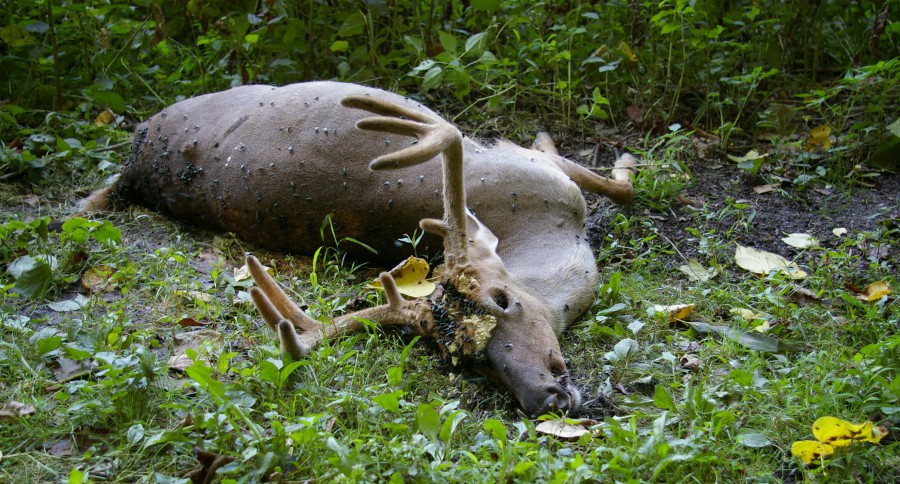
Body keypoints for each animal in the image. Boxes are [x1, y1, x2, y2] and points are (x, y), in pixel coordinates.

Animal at [81, 81, 636, 417]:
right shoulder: (545, 176)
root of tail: (134, 165)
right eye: (462, 361)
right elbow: (614, 182)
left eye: (505, 301)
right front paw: (623, 159)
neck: (548, 231)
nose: (544, 398)